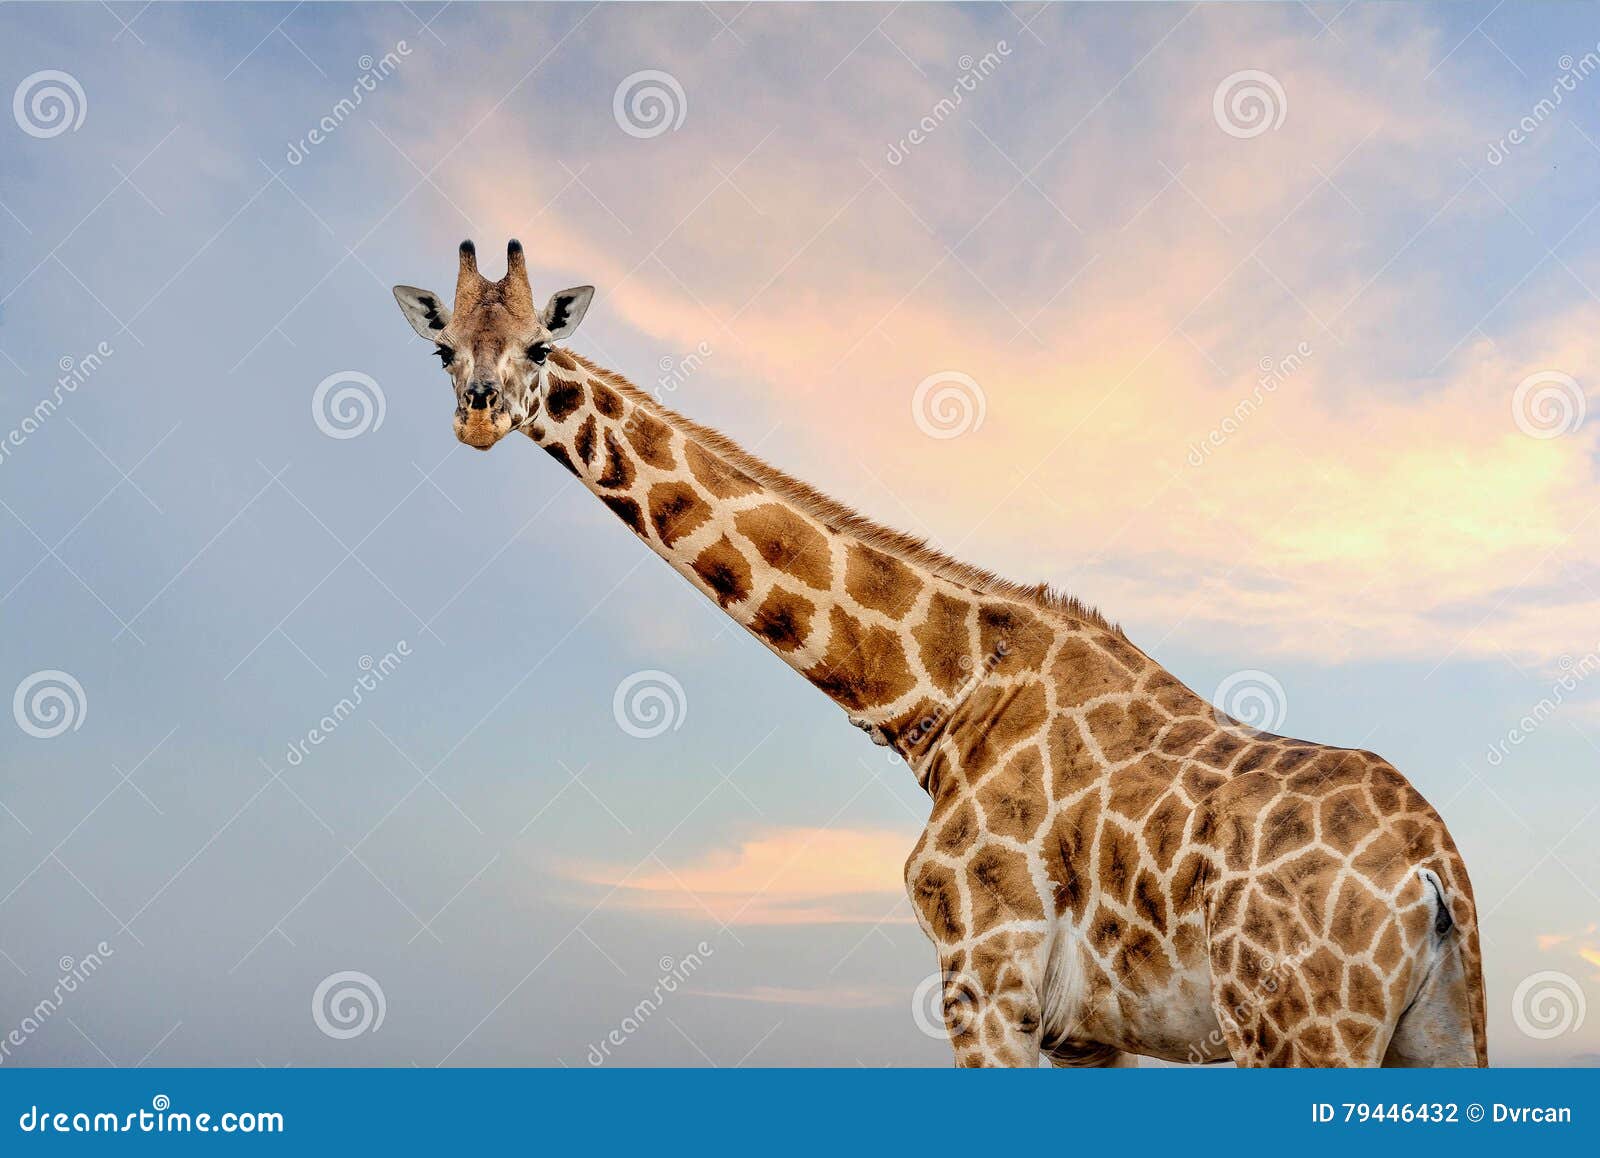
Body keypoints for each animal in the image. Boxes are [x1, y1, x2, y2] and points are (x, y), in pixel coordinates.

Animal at [393, 240, 1488, 1068]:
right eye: (442, 348)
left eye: (541, 344)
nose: (479, 412)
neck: (936, 701)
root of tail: (1433, 868)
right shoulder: (1086, 1034)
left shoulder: (983, 970)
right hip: (1433, 1032)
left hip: (1299, 1026)